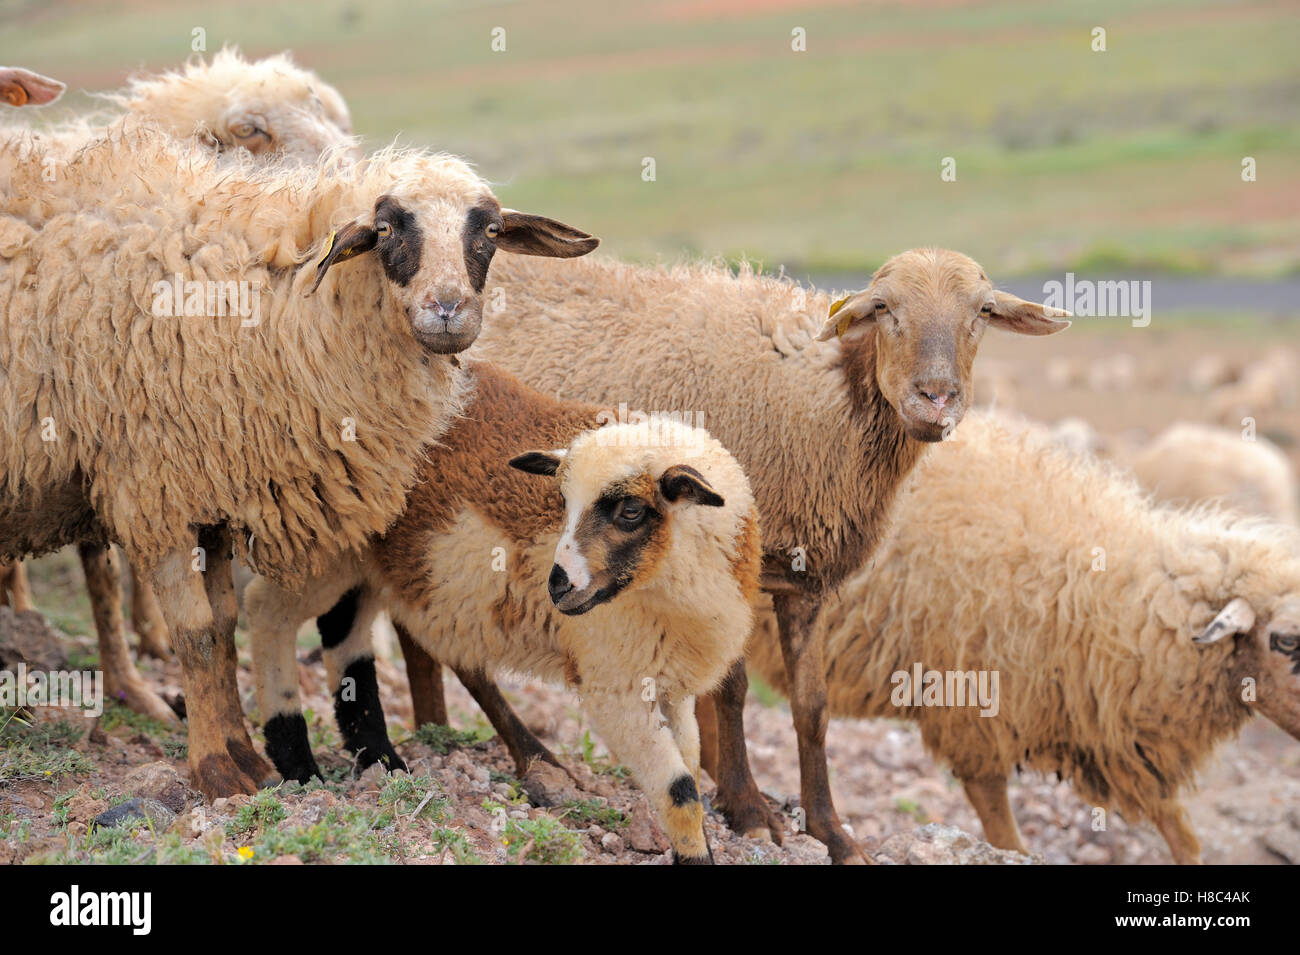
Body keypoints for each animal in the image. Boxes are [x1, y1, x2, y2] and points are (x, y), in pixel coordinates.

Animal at [0, 123, 597, 798]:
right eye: (386, 228)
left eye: (490, 231)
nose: (448, 311)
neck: (270, 306)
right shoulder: (152, 490)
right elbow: (196, 633)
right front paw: (217, 771)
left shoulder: (212, 491)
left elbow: (224, 627)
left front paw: (248, 758)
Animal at [245, 364, 761, 864]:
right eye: (561, 502)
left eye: (631, 511)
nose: (558, 585)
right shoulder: (614, 685)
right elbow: (681, 792)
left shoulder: (672, 683)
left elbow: (689, 760)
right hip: (320, 545)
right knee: (267, 612)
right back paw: (296, 760)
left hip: (371, 561)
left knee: (342, 634)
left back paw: (378, 759)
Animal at [436, 247, 1069, 863]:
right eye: (883, 307)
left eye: (982, 312)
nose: (936, 399)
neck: (825, 399)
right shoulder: (733, 562)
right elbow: (732, 690)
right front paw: (748, 811)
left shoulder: (806, 583)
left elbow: (812, 707)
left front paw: (833, 833)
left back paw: (436, 729)